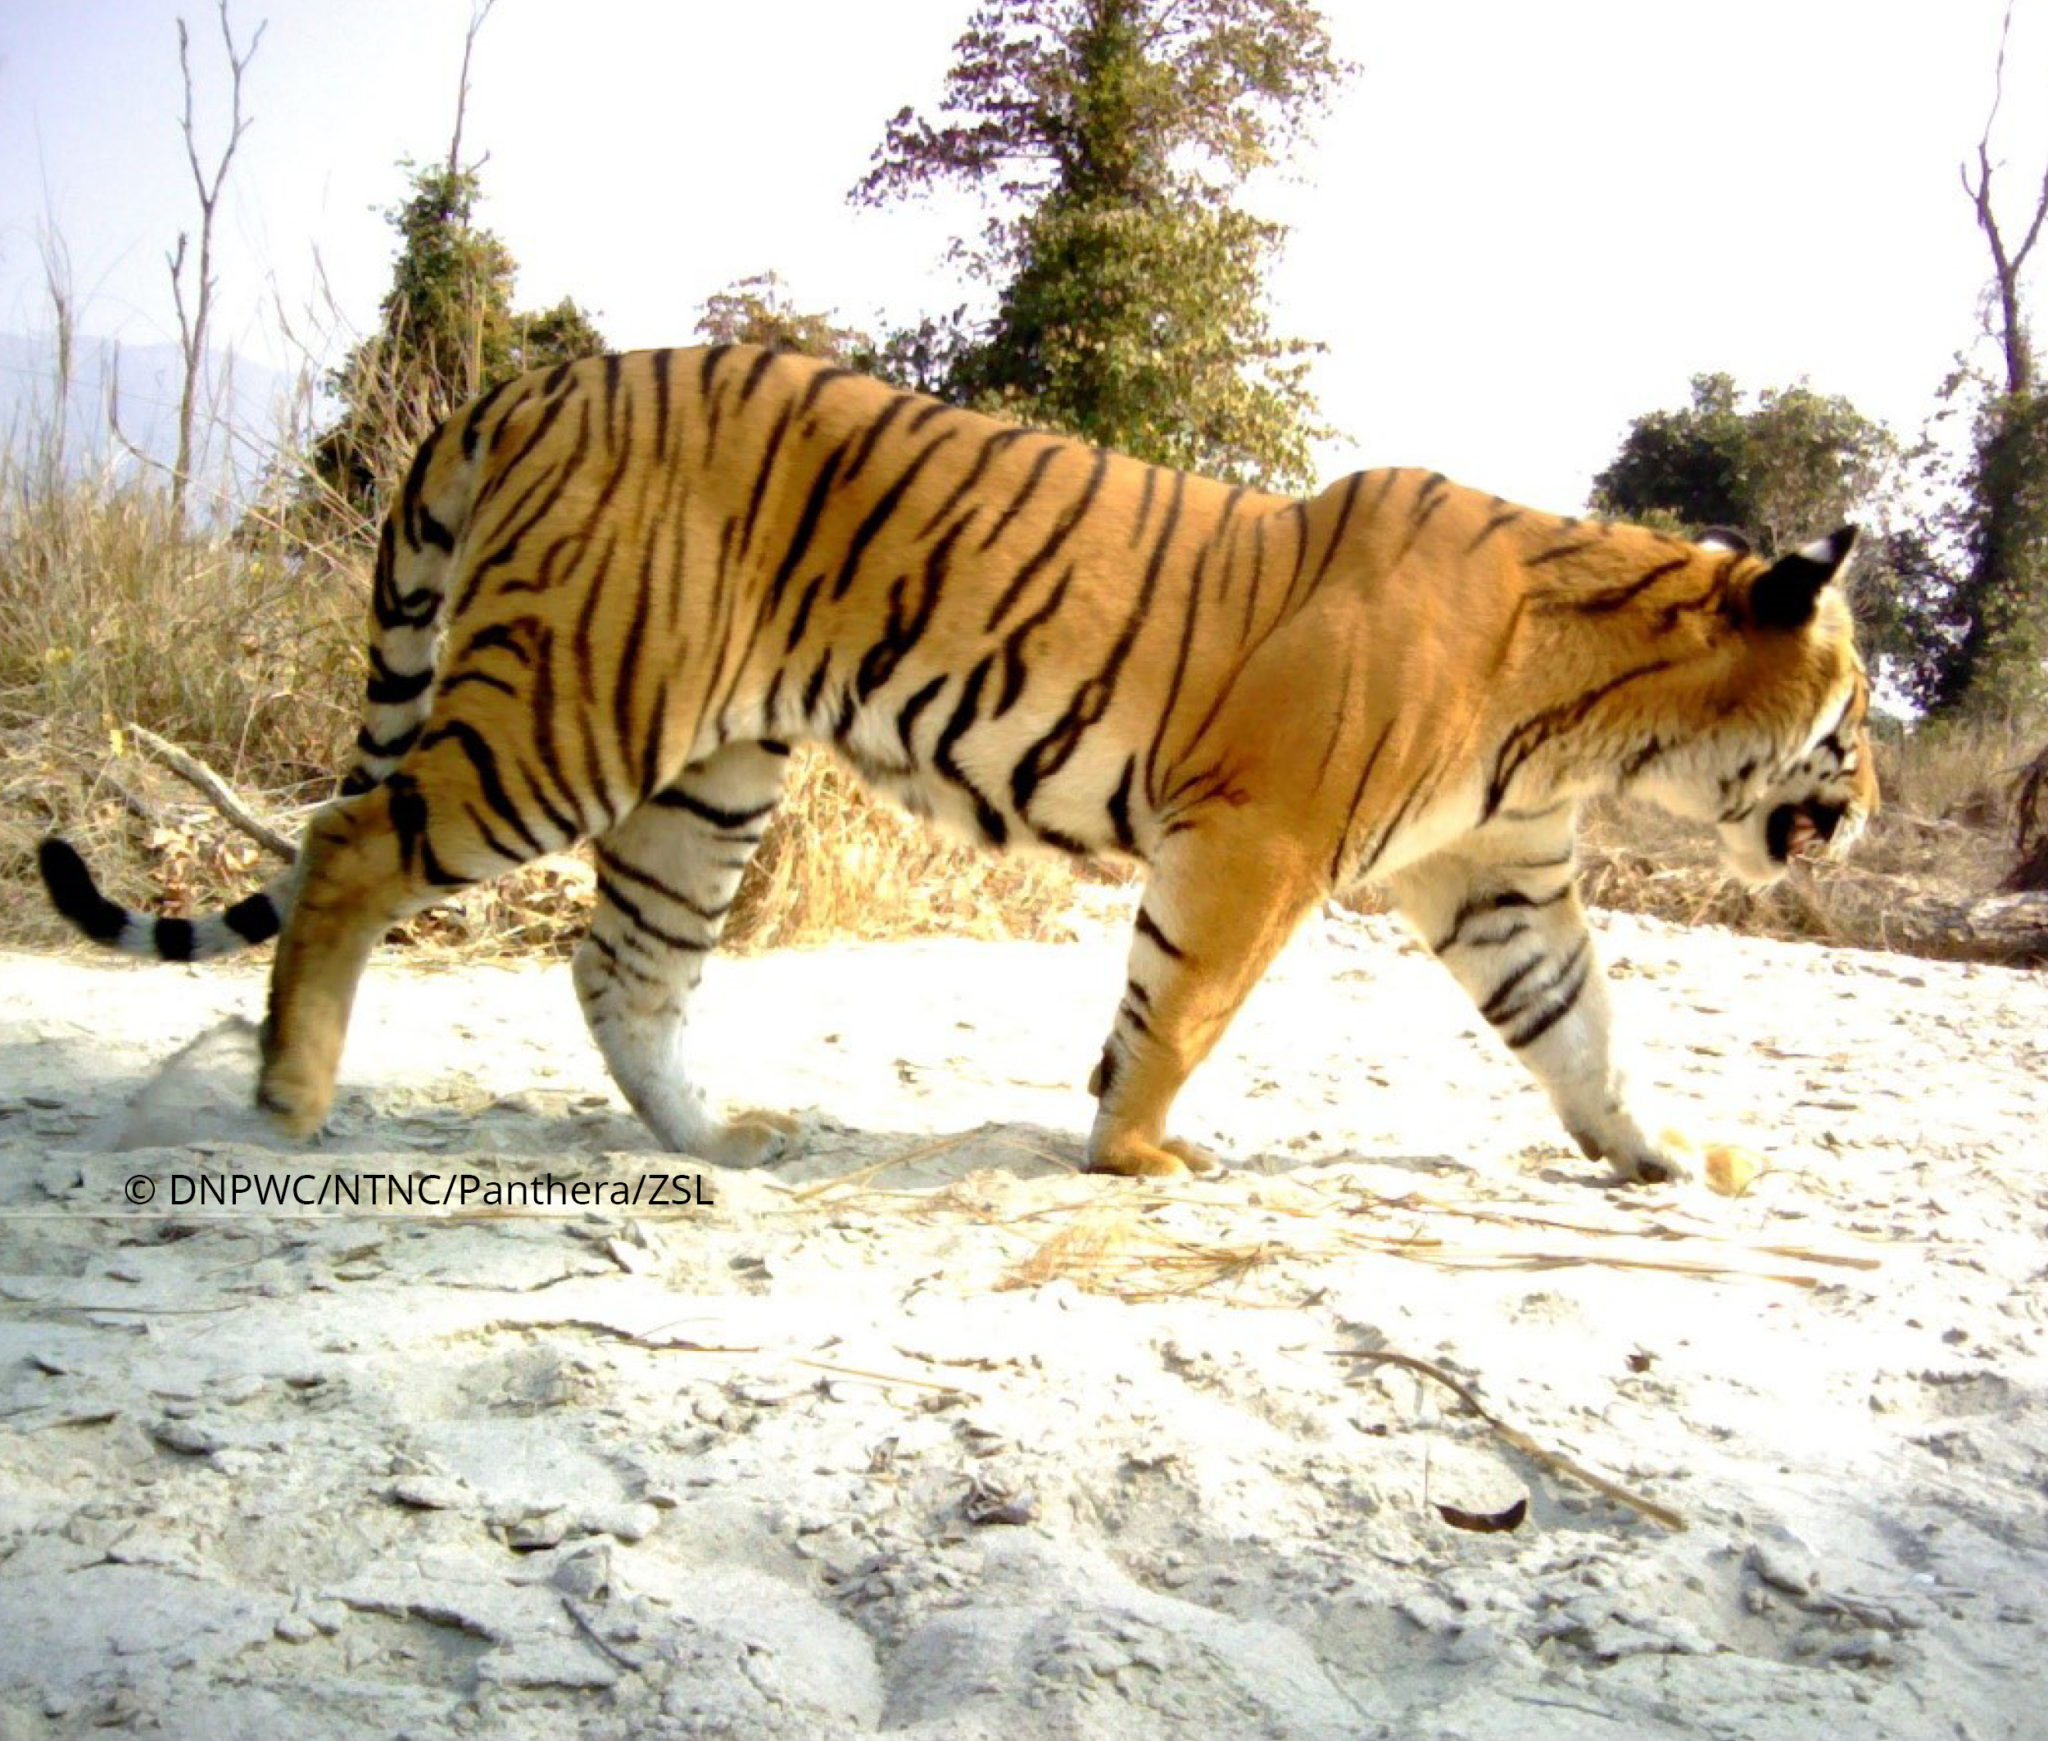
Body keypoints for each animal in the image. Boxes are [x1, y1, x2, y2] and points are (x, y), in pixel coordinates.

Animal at [39, 344, 1876, 1187]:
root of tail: (534, 378)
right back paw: (291, 1097)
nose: (1864, 813)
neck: (1594, 716)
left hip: (706, 773)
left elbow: (1582, 1029)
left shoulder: (1498, 883)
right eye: (1852, 723)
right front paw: (1133, 1153)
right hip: (568, 716)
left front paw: (1664, 1156)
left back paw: (719, 1139)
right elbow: (1182, 1007)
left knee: (621, 961)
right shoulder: (1257, 841)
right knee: (351, 840)